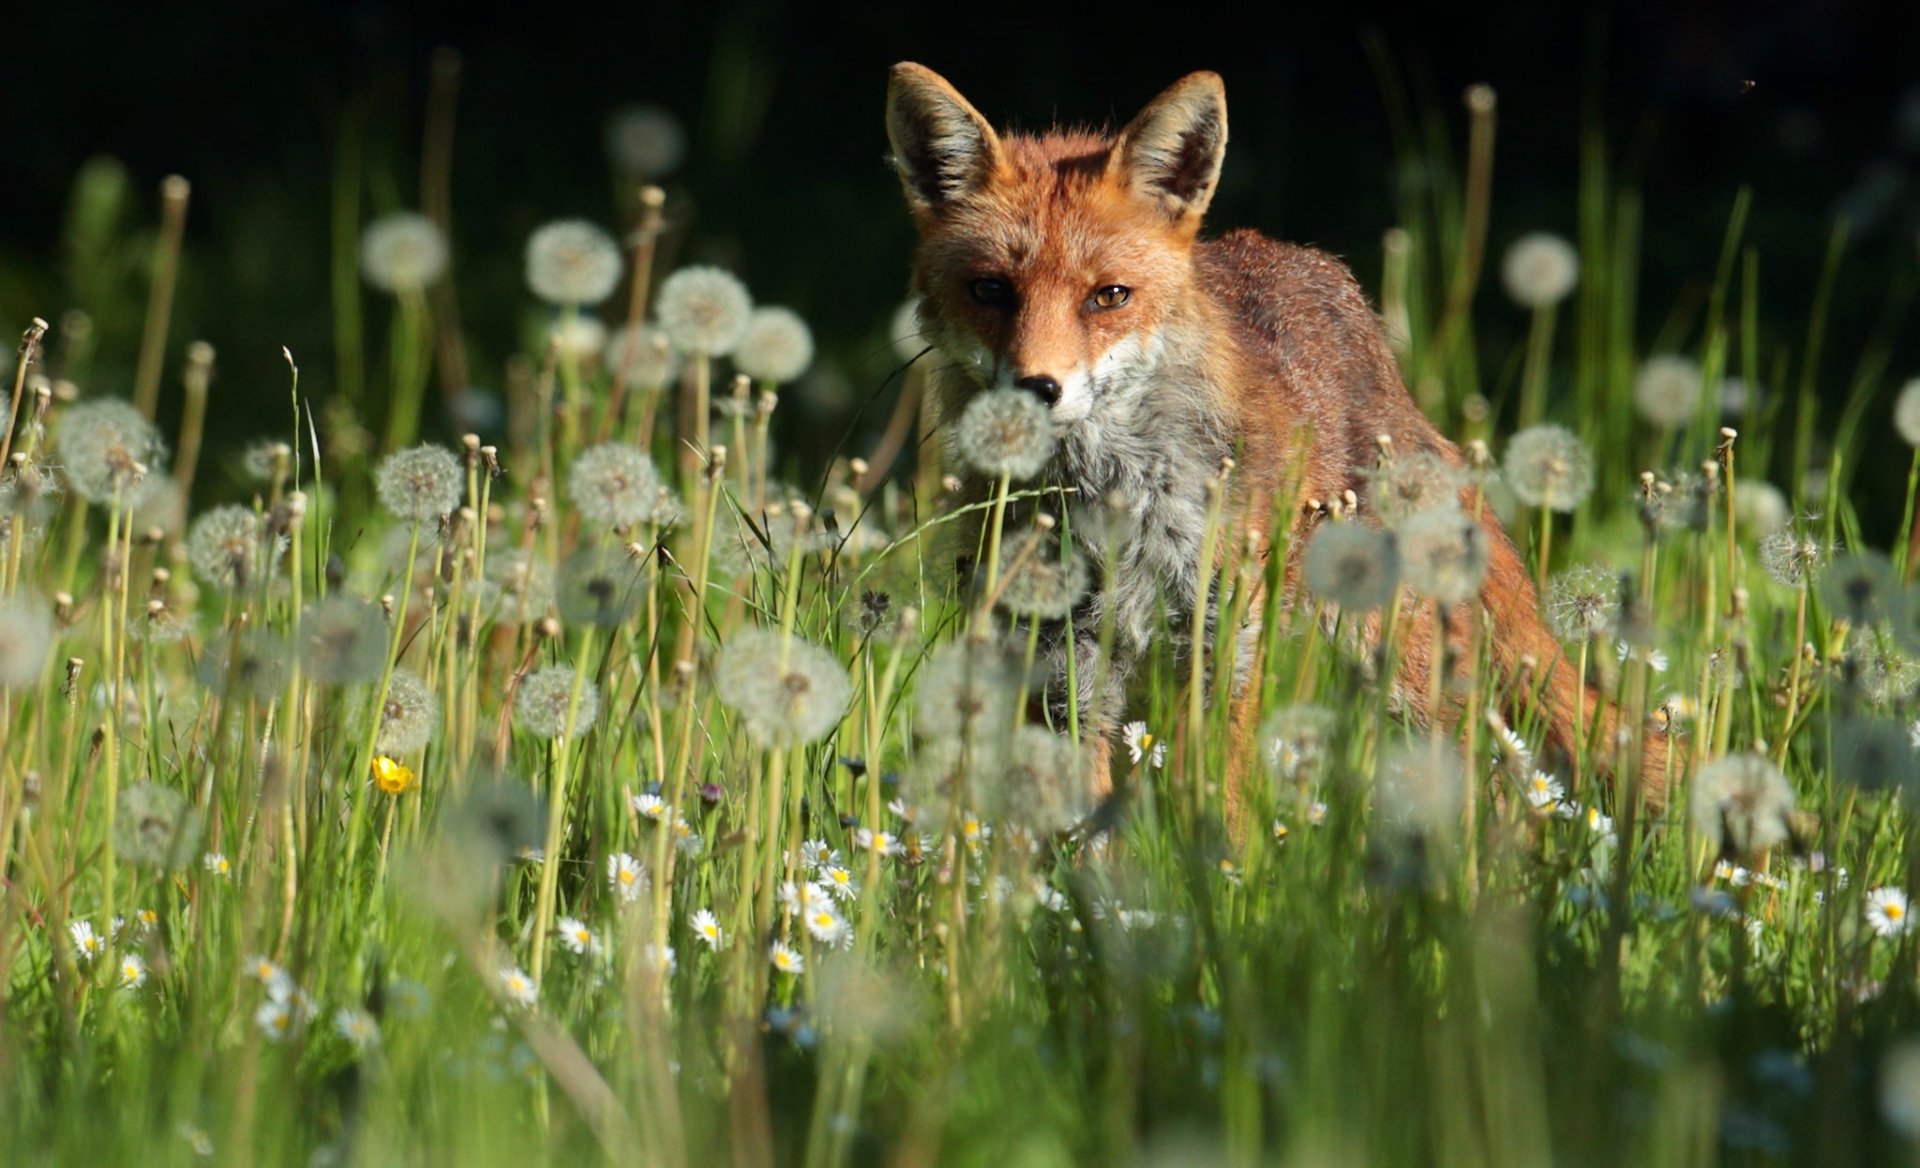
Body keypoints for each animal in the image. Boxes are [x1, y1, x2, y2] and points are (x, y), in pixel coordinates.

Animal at [884, 62, 1673, 814]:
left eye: (1108, 296)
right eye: (991, 290)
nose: (1036, 389)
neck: (1115, 506)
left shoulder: (1224, 648)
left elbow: (1219, 813)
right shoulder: (1064, 667)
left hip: (1400, 666)